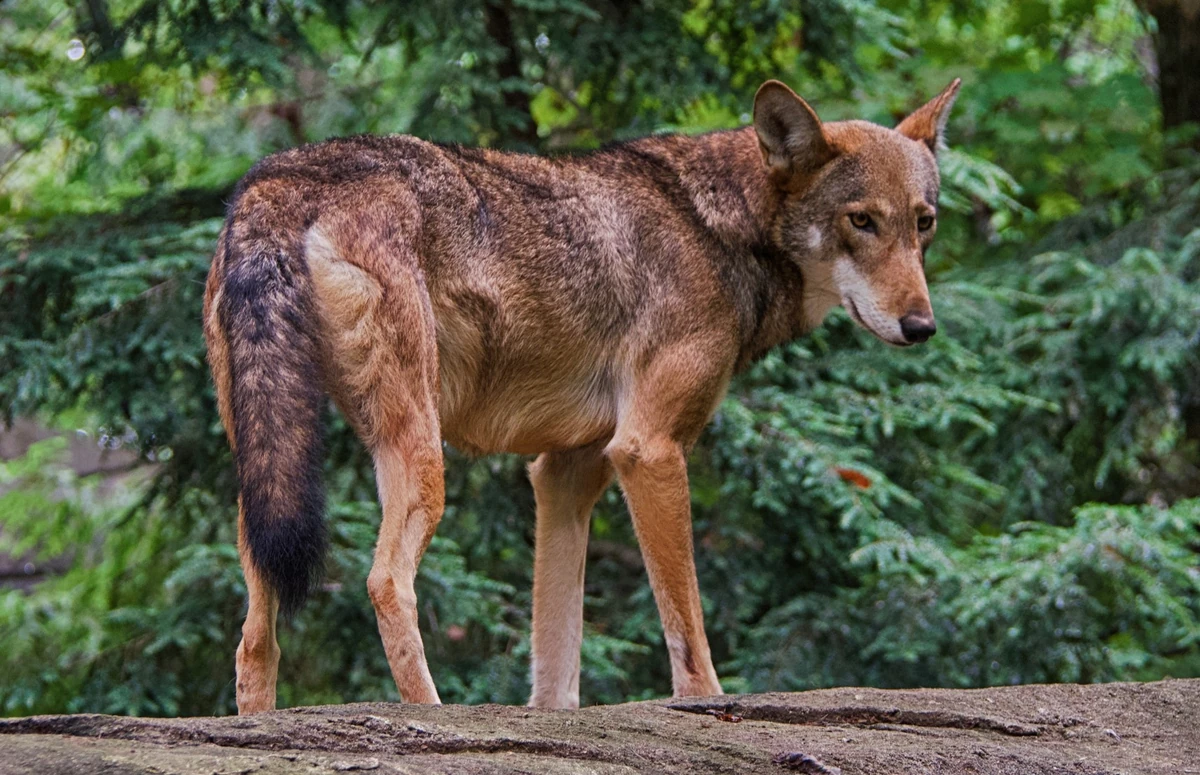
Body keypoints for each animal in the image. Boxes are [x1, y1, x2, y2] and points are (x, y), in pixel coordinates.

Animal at [203, 78, 960, 712]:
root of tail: (280, 180)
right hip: (417, 458)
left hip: (267, 476)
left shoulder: (565, 473)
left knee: (253, 635)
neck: (717, 224)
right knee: (385, 580)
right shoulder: (647, 452)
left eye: (922, 222)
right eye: (861, 221)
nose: (922, 327)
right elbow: (688, 638)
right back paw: (431, 714)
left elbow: (557, 663)